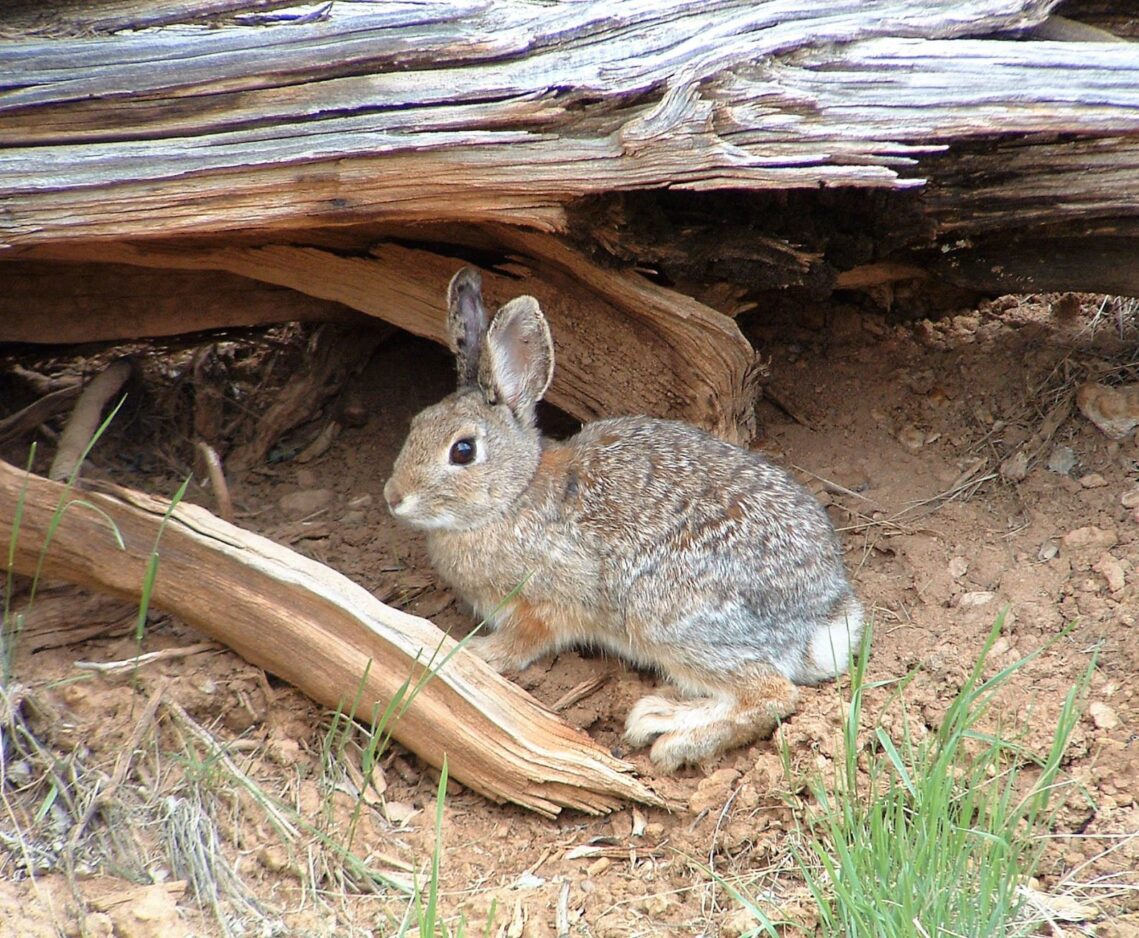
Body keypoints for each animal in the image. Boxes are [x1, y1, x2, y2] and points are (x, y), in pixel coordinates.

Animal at [384, 267, 864, 771]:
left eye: (463, 450)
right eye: (416, 424)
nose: (393, 497)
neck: (515, 493)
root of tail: (824, 613)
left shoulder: (544, 604)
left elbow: (524, 641)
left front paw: (478, 653)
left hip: (665, 614)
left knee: (771, 693)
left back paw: (671, 733)